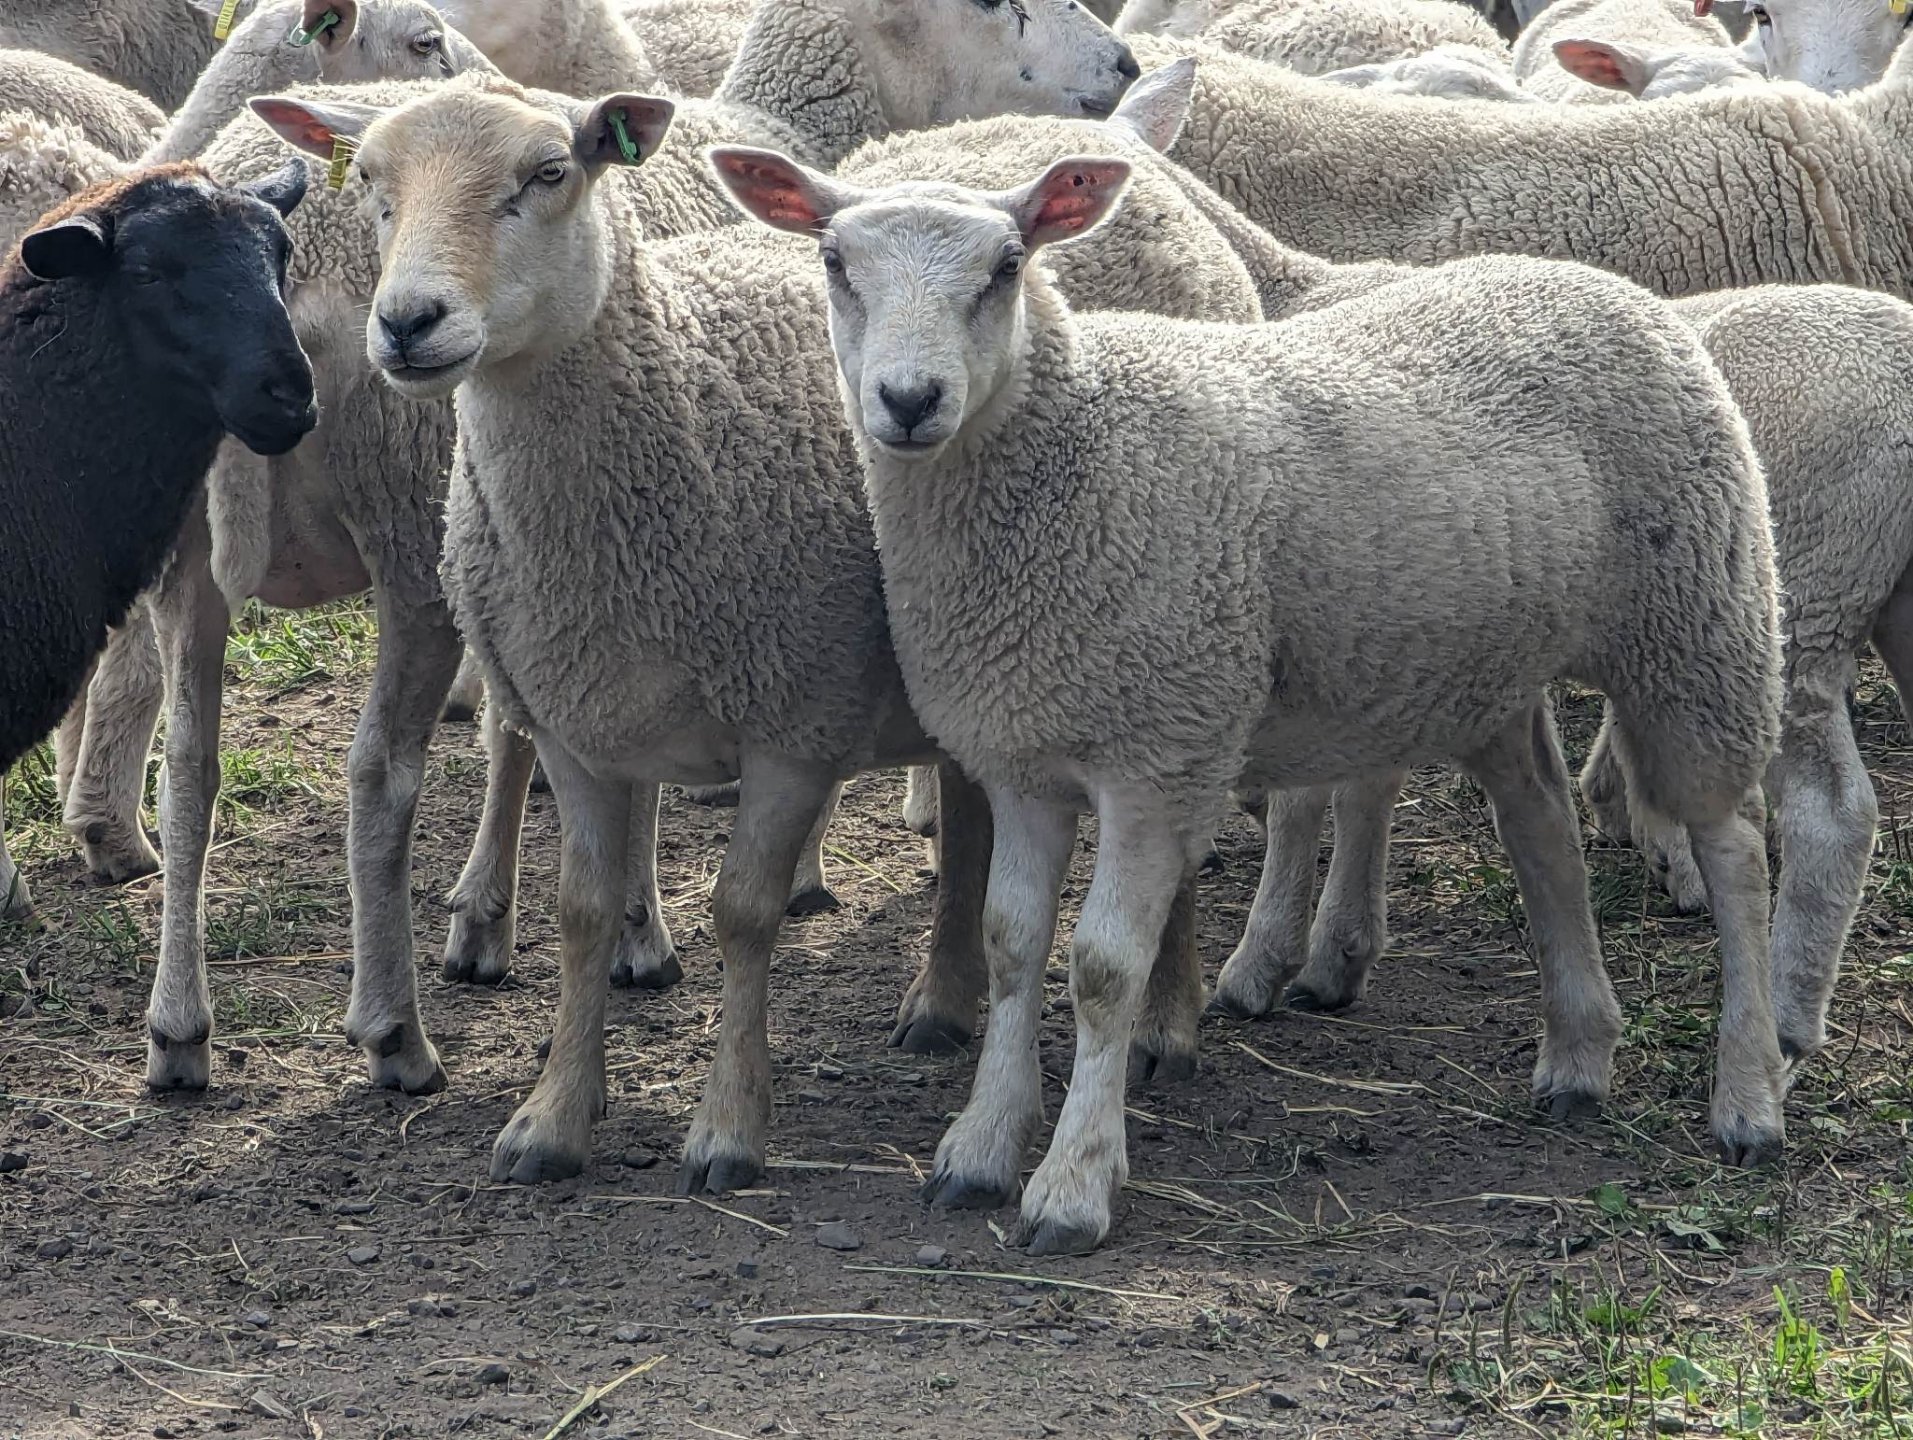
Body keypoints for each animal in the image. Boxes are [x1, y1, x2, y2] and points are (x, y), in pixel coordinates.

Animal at [717, 149, 1787, 1254]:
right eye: (834, 263)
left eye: (1007, 267)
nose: (907, 398)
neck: (1070, 454)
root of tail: (1606, 287)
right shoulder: (1023, 750)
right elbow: (1012, 946)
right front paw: (978, 1148)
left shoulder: (1157, 753)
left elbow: (1101, 968)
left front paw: (1072, 1183)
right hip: (1491, 663)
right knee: (1540, 818)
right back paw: (1577, 1052)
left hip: (1698, 620)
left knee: (1735, 846)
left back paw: (1747, 1096)